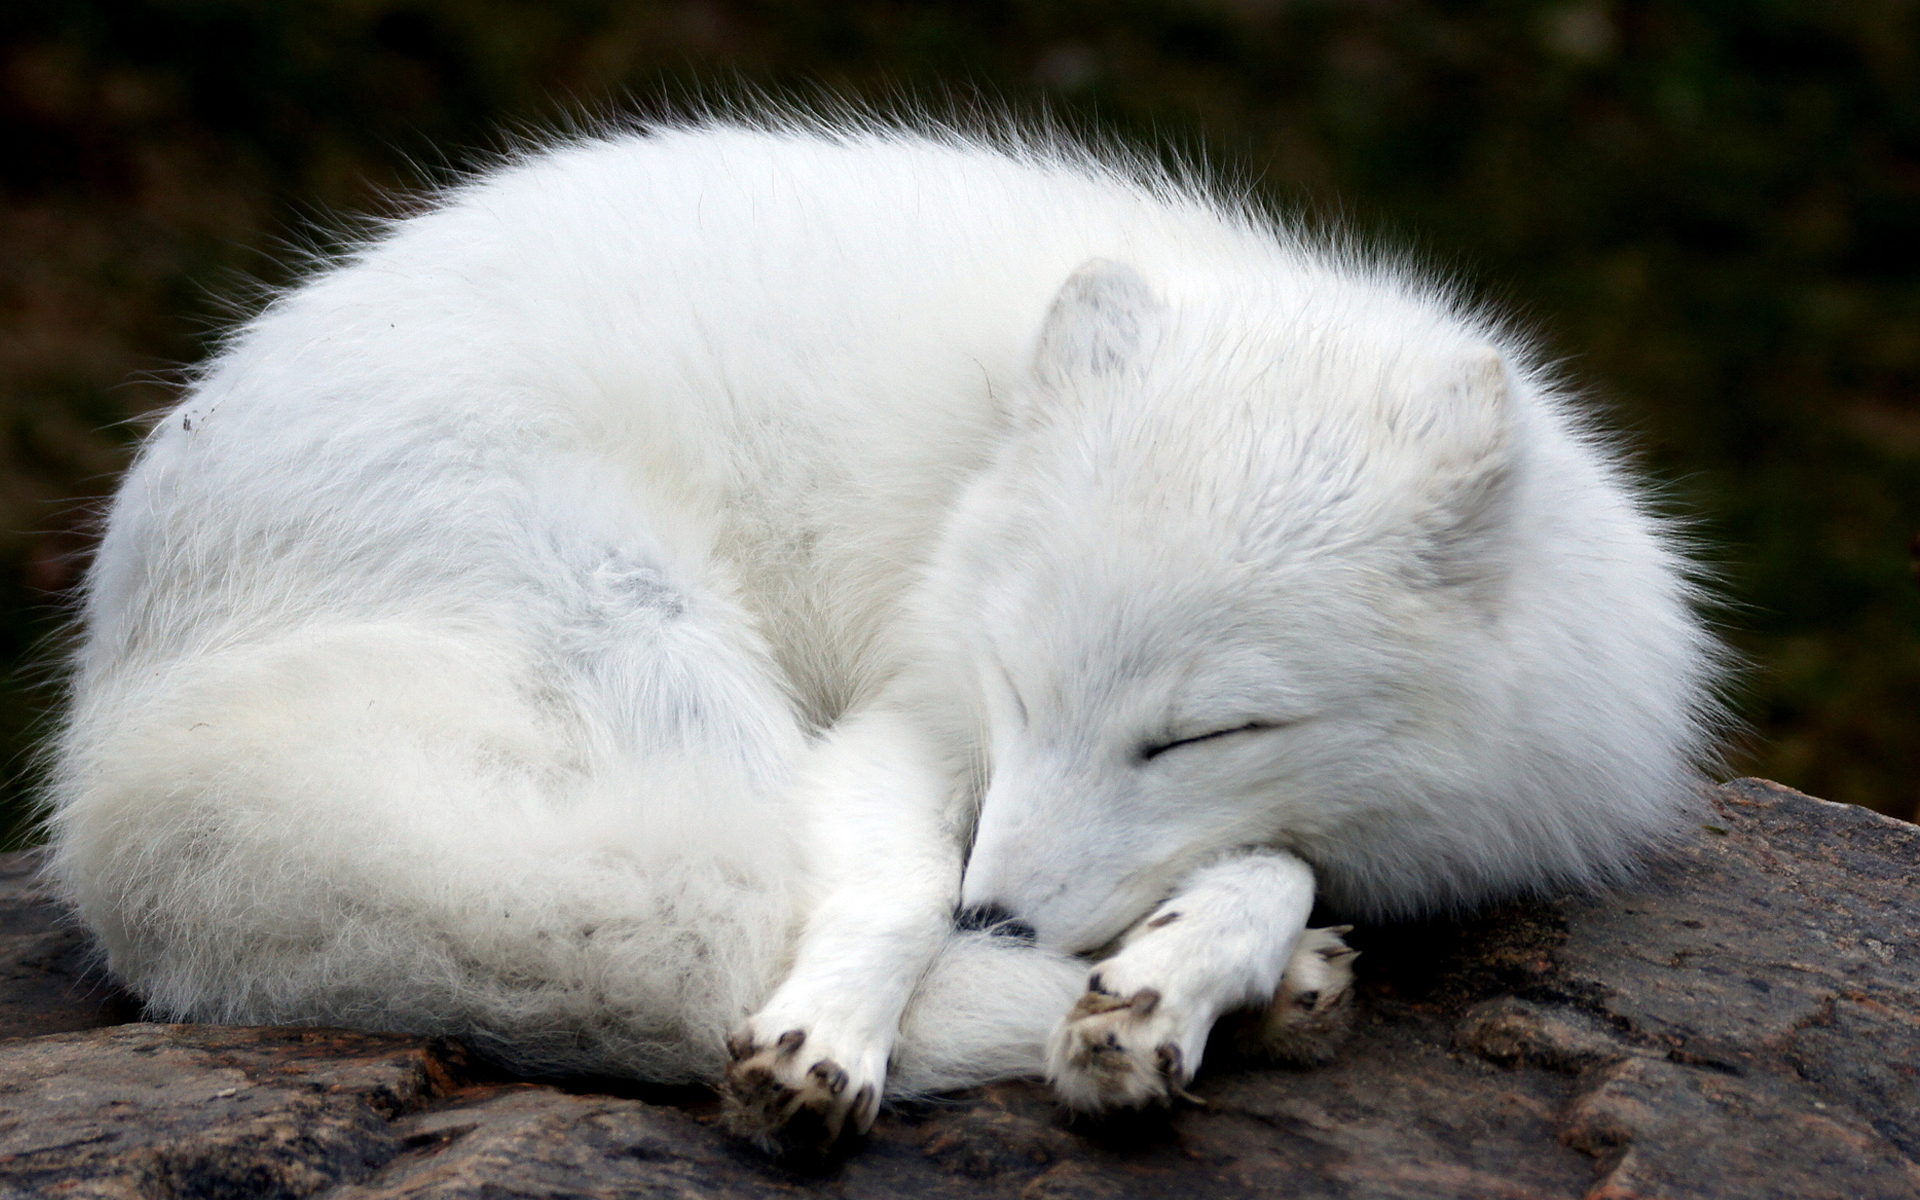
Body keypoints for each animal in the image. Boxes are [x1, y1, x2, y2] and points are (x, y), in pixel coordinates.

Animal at [43, 113, 1723, 1149]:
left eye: (1203, 734)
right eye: (1018, 689)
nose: (1008, 916)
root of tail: (116, 709)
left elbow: (1270, 856)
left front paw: (1188, 964)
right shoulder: (906, 714)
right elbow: (892, 890)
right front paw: (845, 1033)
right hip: (655, 649)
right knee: (702, 943)